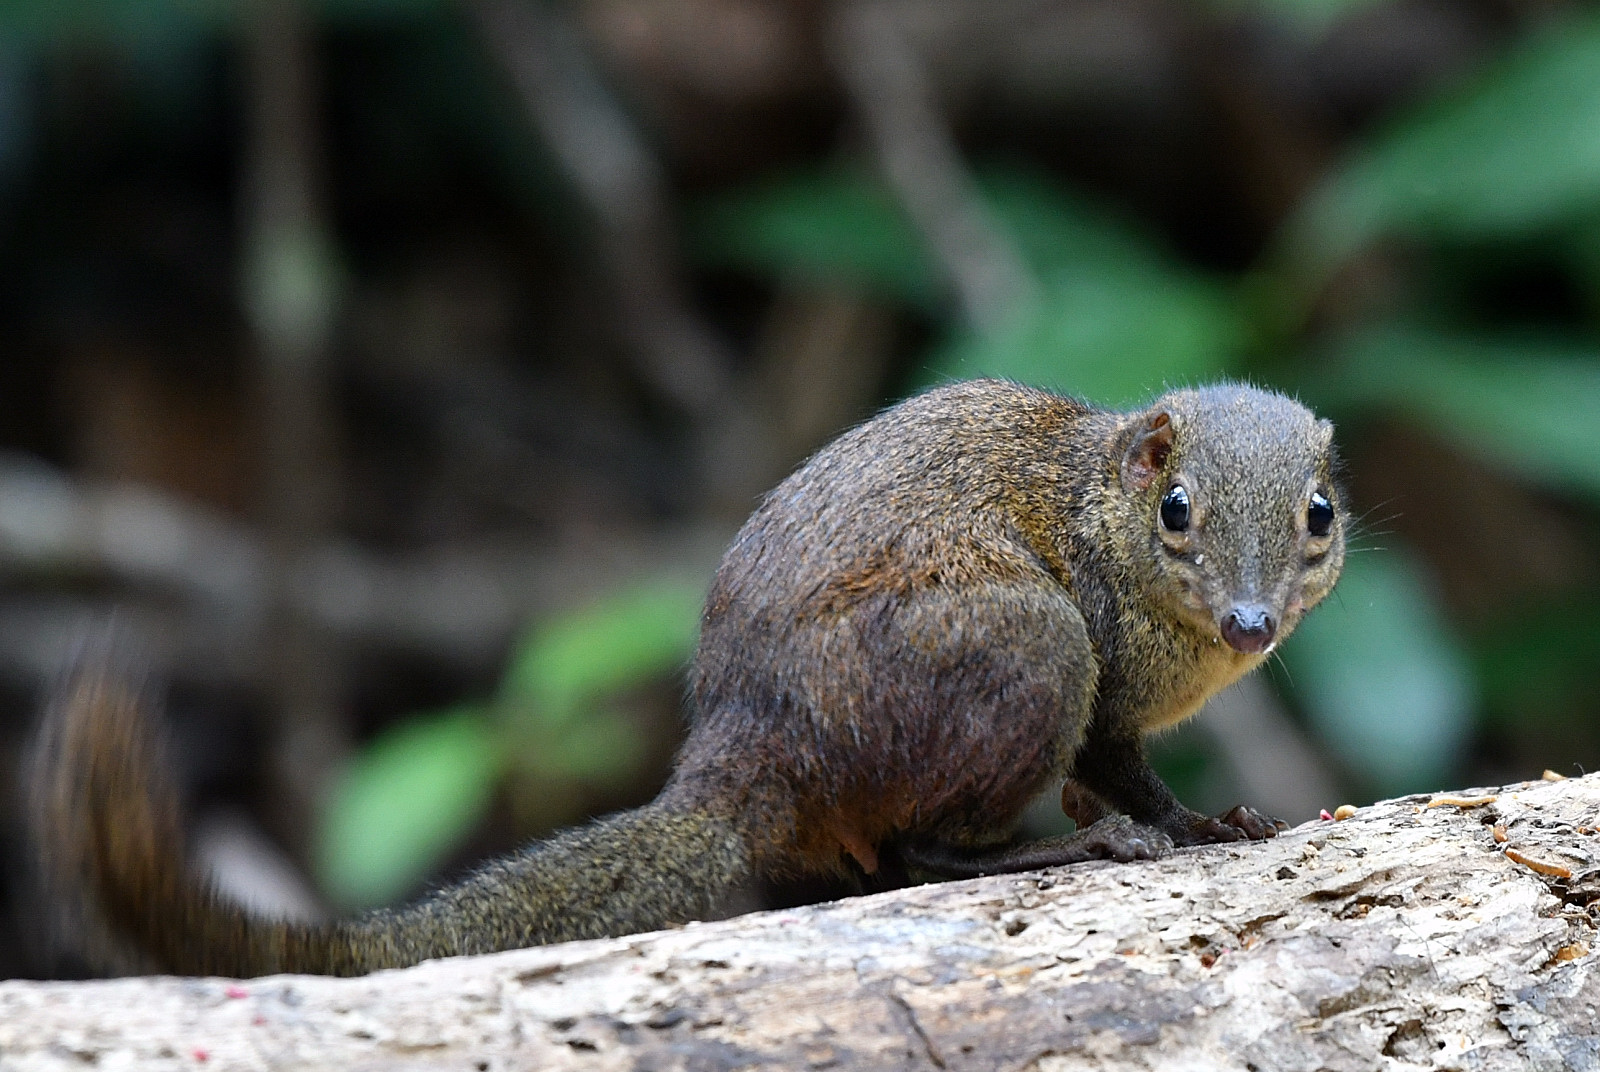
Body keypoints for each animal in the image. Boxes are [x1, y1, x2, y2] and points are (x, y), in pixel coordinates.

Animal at [28, 378, 1345, 977]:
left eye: (1318, 515)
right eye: (1176, 511)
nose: (1249, 619)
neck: (1097, 515)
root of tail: (741, 752)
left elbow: (1098, 775)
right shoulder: (1103, 672)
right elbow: (1122, 773)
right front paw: (1194, 823)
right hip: (1031, 642)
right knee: (918, 854)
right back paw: (1061, 851)